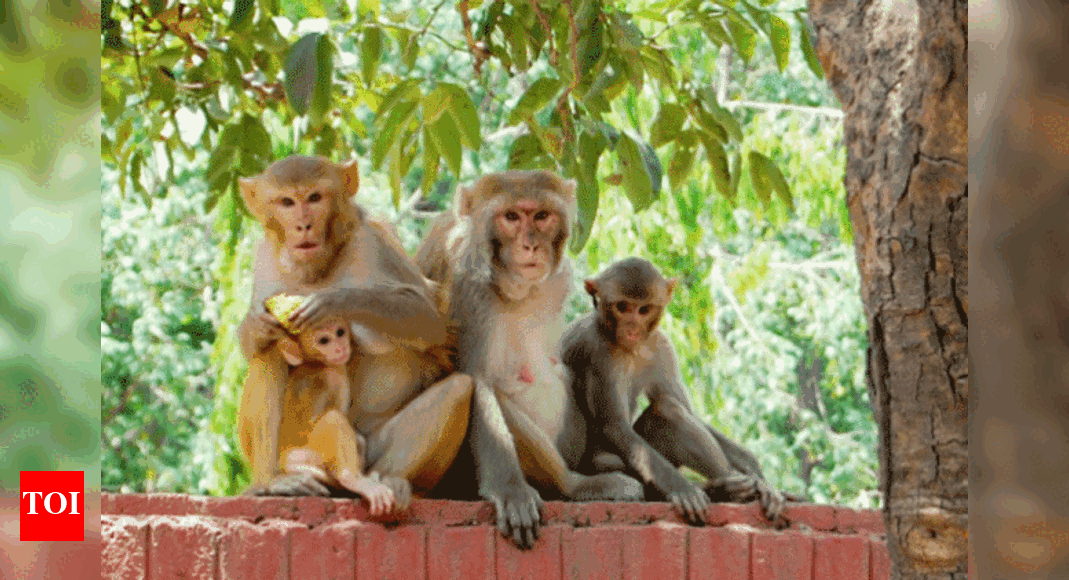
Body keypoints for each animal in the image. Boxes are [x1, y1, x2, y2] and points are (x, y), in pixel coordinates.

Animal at [270, 316, 410, 515]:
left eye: (340, 332)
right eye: (324, 340)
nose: (340, 347)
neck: (316, 362)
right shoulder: (334, 375)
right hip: (308, 454)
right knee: (333, 418)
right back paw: (350, 479)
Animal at [417, 170, 643, 550]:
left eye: (541, 216)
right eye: (510, 217)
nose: (531, 245)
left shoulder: (559, 278)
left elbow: (559, 362)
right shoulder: (465, 283)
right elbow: (477, 381)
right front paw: (510, 491)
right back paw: (572, 485)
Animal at [562, 257, 790, 526]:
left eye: (643, 310)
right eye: (622, 307)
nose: (632, 327)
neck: (630, 348)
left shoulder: (660, 345)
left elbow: (685, 408)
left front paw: (758, 475)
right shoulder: (598, 350)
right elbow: (615, 425)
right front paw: (683, 489)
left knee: (670, 409)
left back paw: (735, 488)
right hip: (598, 466)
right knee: (664, 413)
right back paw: (727, 491)